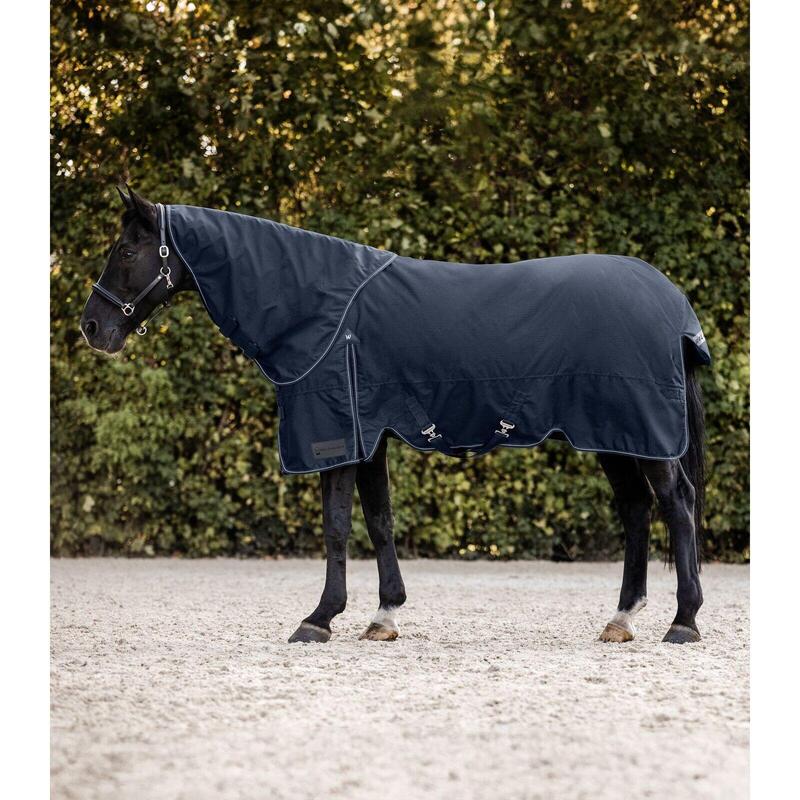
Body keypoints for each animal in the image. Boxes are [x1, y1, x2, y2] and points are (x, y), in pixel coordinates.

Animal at [80, 187, 709, 645]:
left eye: (127, 252)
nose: (92, 328)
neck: (319, 306)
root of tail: (673, 301)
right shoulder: (369, 435)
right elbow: (378, 520)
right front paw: (383, 616)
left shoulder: (336, 436)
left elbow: (336, 525)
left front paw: (319, 618)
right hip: (615, 436)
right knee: (636, 510)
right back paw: (621, 619)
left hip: (641, 432)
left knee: (677, 506)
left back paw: (684, 621)